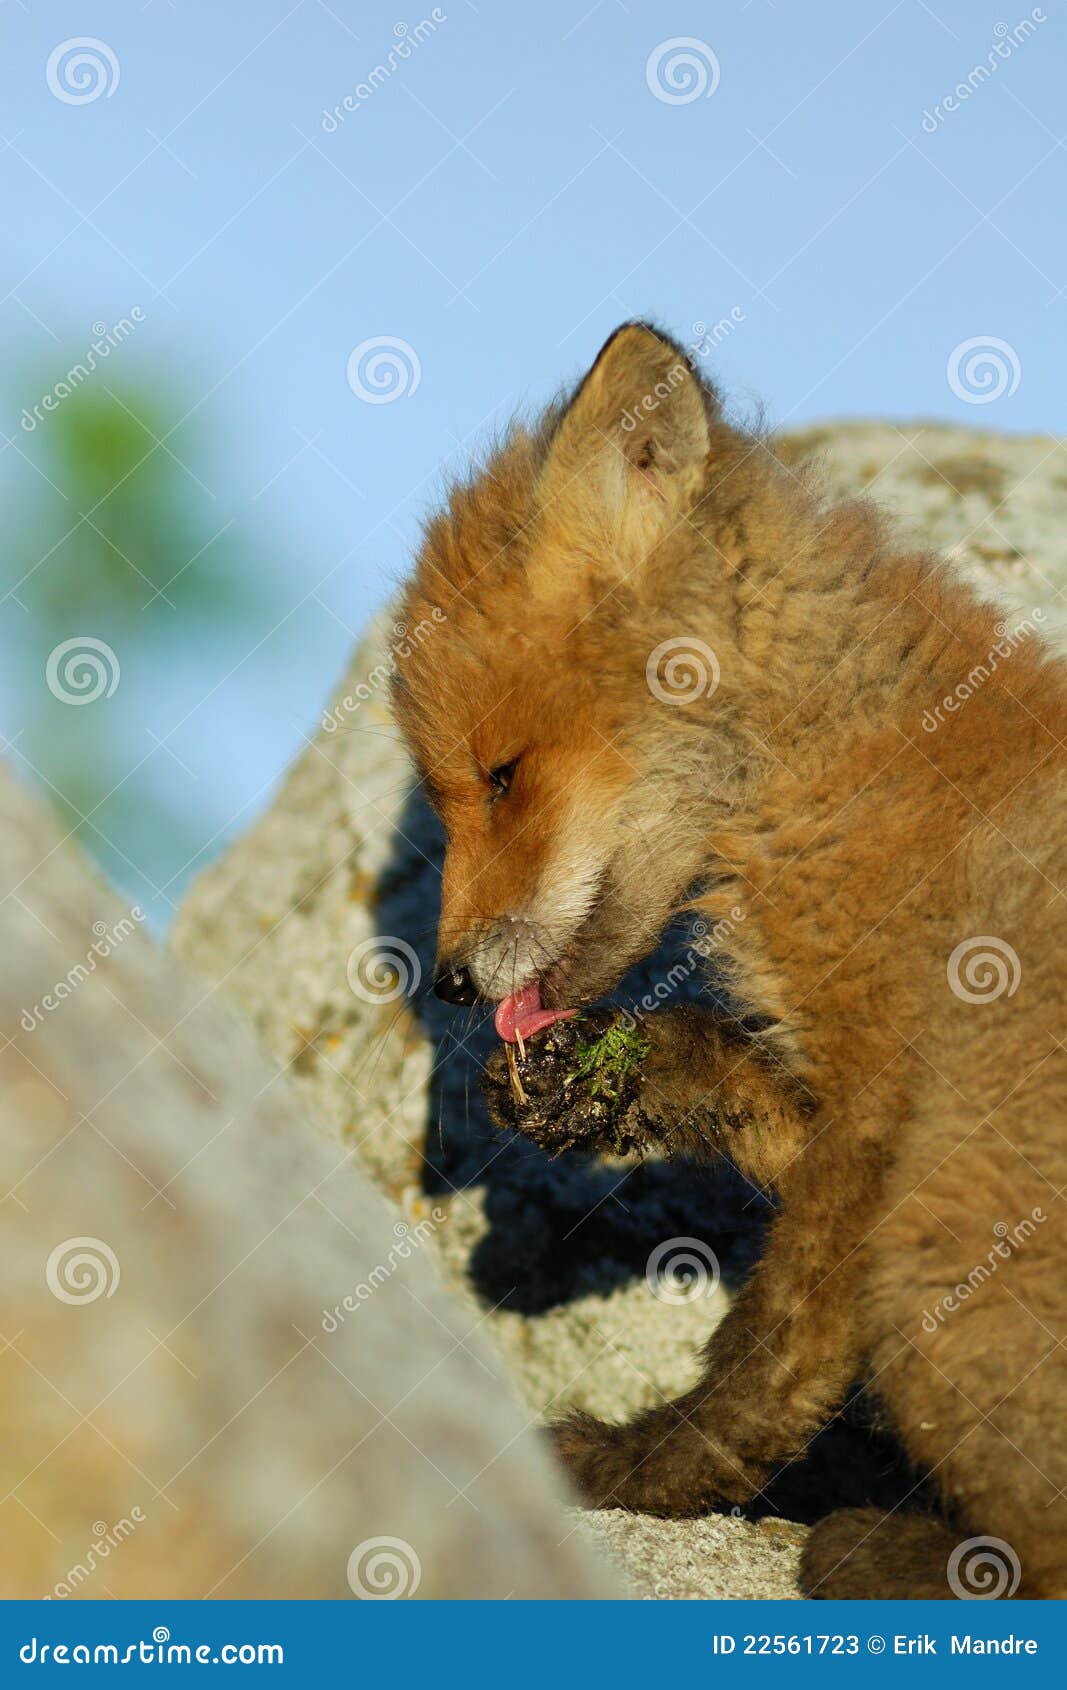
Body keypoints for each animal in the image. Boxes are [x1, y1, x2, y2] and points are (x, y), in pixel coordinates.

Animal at [391, 322, 1067, 1599]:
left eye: (501, 777)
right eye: (443, 800)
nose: (449, 981)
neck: (826, 768)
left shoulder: (886, 1112)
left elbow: (767, 1359)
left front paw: (642, 1470)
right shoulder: (837, 1109)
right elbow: (721, 1075)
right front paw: (592, 1088)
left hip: (944, 1240)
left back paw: (889, 1552)